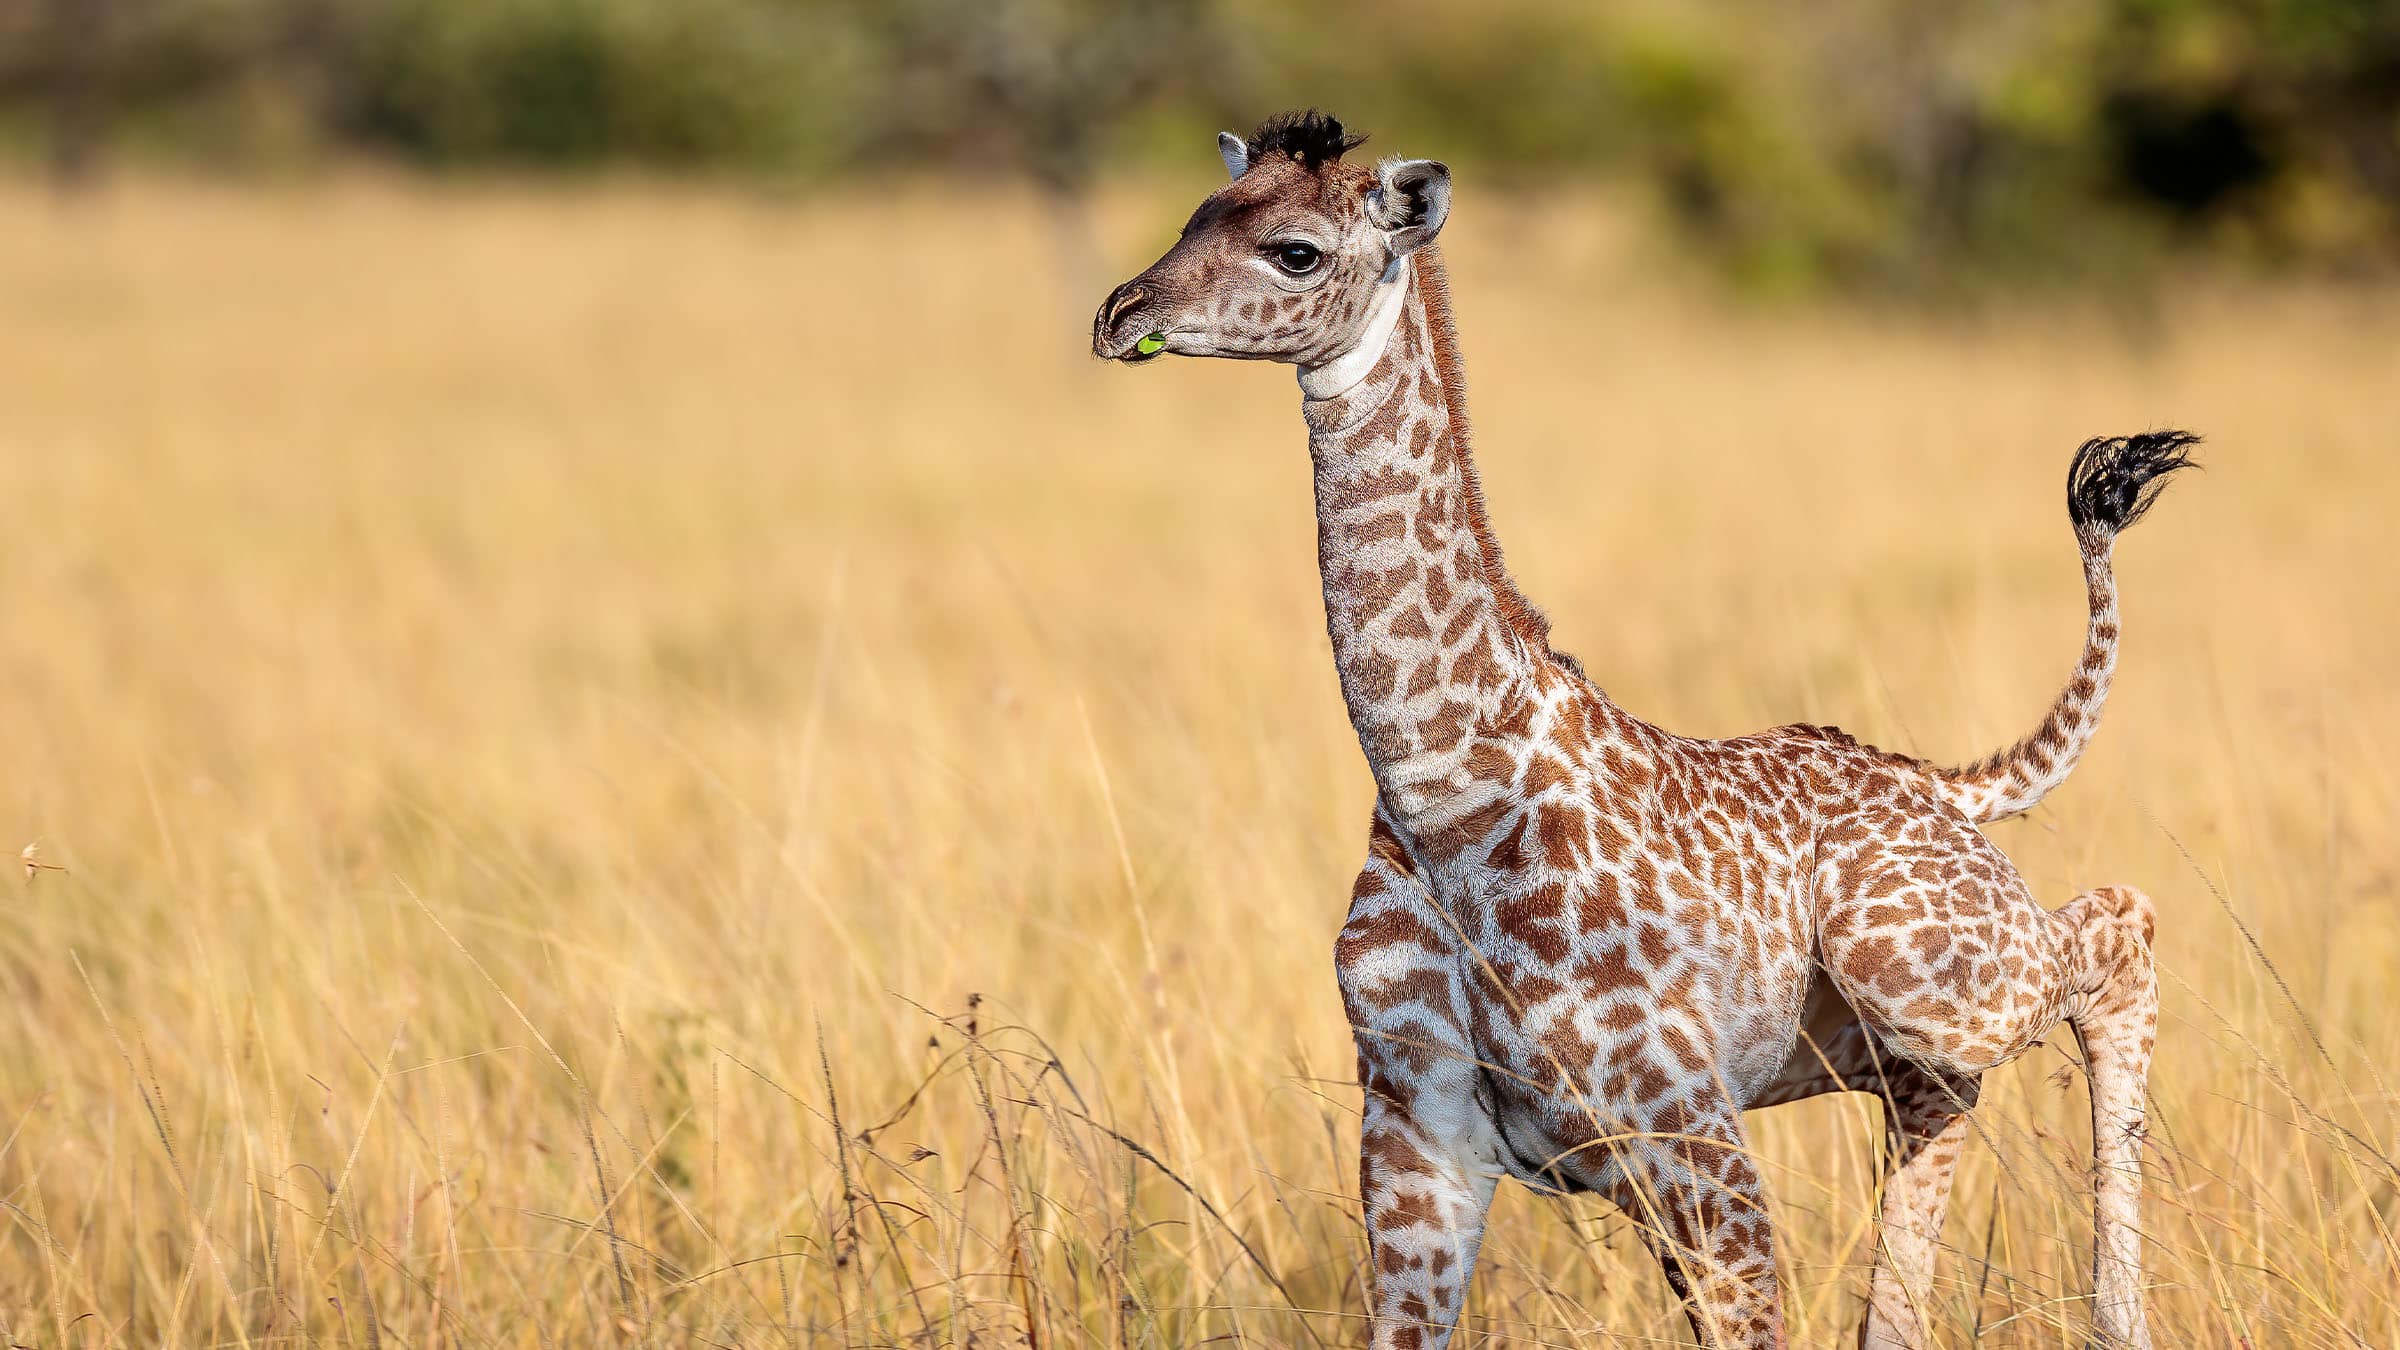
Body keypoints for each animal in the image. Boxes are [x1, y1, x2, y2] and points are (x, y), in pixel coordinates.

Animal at [1091, 110, 2190, 1350]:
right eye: (1196, 215)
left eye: (1296, 251)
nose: (1120, 312)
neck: (1443, 789)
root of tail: (1939, 782)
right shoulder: (1414, 1142)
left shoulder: (1691, 1139)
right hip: (1891, 1043)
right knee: (1935, 1149)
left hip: (1918, 971)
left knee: (2122, 924)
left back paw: (2123, 1326)